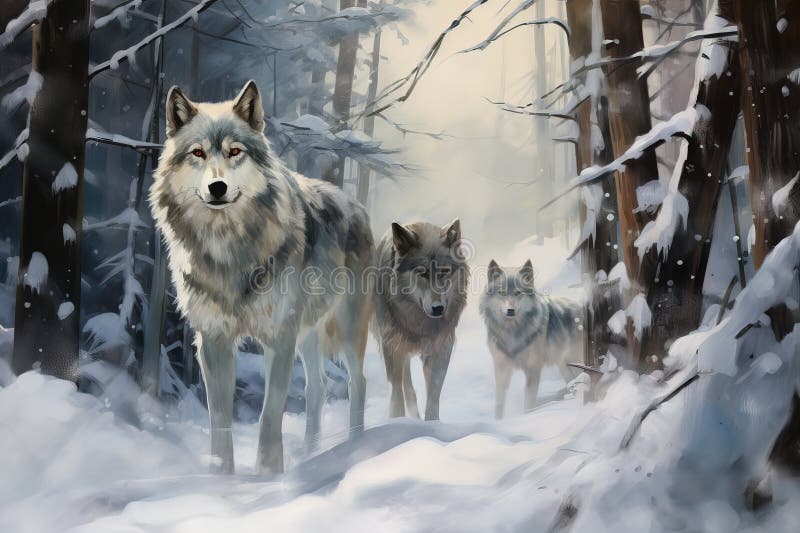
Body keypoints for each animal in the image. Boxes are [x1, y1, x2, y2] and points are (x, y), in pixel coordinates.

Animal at [150, 81, 374, 474]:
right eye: (198, 153)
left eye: (234, 151)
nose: (218, 187)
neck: (229, 252)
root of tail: (355, 203)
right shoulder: (213, 341)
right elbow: (219, 417)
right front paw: (221, 475)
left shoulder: (279, 337)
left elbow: (270, 415)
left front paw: (269, 474)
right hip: (309, 333)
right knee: (318, 386)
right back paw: (311, 453)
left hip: (346, 328)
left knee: (357, 382)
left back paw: (353, 446)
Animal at [374, 220, 469, 421]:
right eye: (422, 273)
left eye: (444, 272)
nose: (438, 308)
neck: (420, 327)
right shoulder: (391, 345)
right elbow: (396, 393)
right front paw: (396, 421)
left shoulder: (442, 348)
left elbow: (433, 395)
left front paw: (431, 425)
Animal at [480, 259, 583, 419]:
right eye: (502, 293)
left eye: (518, 293)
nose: (510, 311)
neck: (512, 332)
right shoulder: (501, 368)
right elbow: (499, 403)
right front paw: (498, 422)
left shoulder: (533, 369)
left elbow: (528, 402)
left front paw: (527, 417)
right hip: (564, 365)